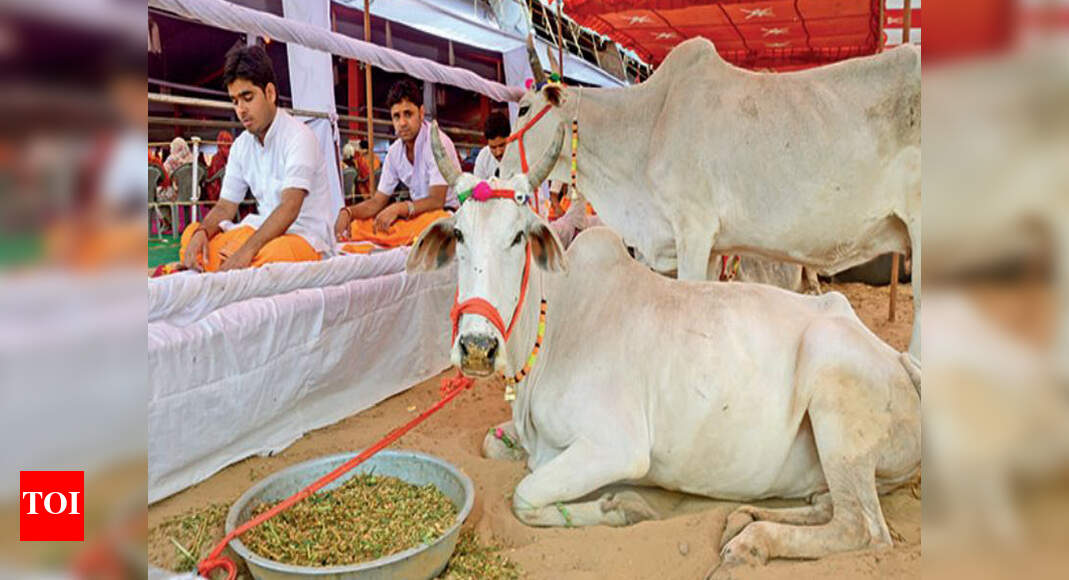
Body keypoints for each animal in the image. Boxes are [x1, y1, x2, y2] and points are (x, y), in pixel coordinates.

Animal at [408, 123, 922, 574]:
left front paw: (623, 507)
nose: (478, 346)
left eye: (518, 236)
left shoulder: (617, 446)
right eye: (458, 234)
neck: (554, 325)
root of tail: (901, 362)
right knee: (828, 504)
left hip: (836, 397)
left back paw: (752, 542)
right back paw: (745, 519)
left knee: (863, 527)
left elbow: (524, 496)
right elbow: (492, 446)